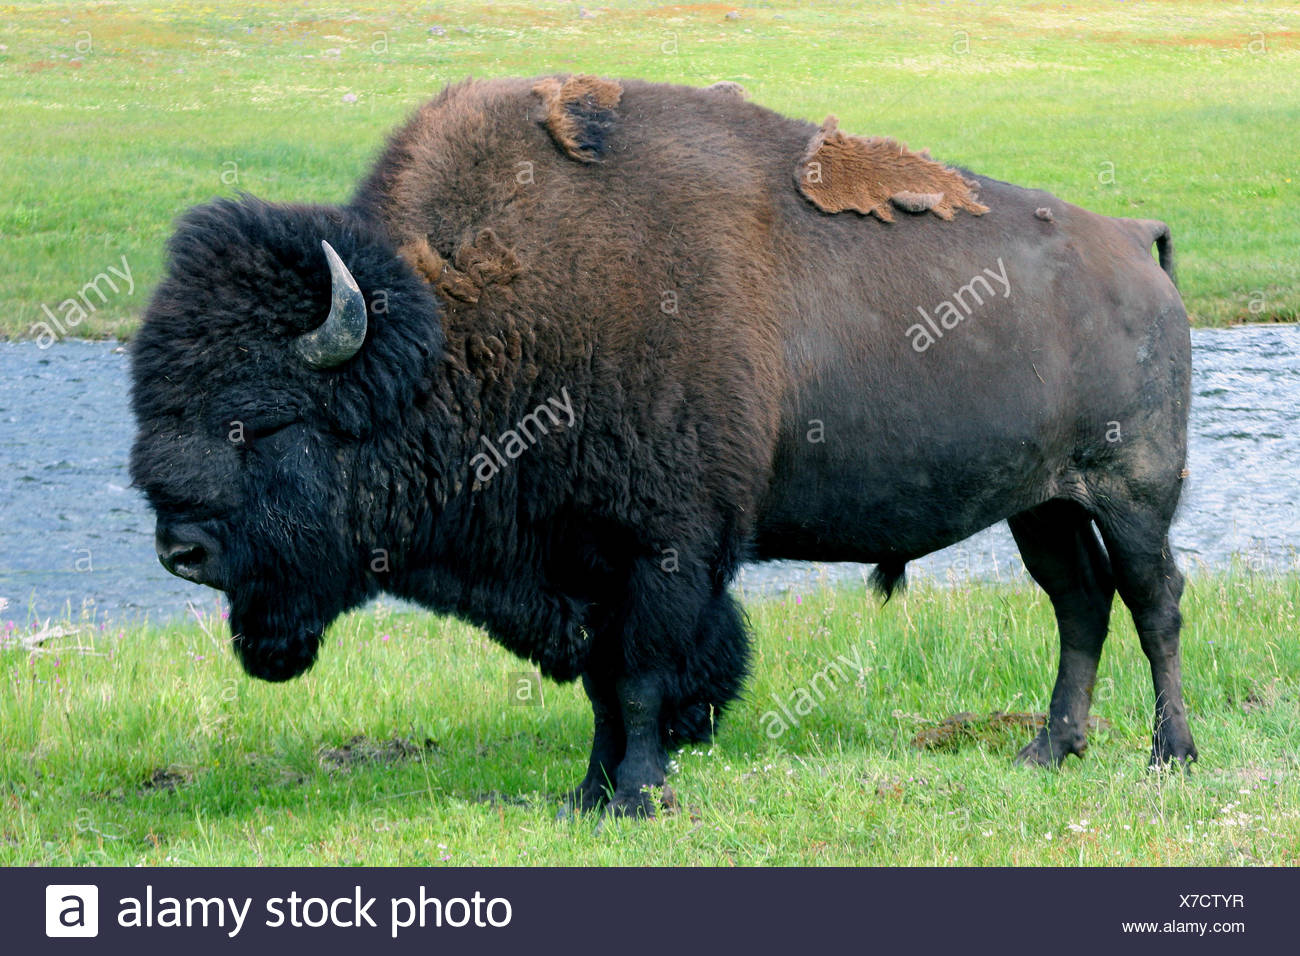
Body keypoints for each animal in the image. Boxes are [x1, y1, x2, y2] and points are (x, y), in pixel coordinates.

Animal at [131, 76, 1196, 819]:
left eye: (263, 421)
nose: (180, 549)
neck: (465, 336)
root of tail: (1134, 243)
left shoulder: (669, 549)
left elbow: (643, 676)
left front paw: (641, 794)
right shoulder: (590, 563)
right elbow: (606, 687)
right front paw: (589, 794)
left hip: (1131, 492)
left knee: (1152, 601)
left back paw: (1169, 756)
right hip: (1043, 507)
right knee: (1078, 603)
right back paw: (1050, 750)